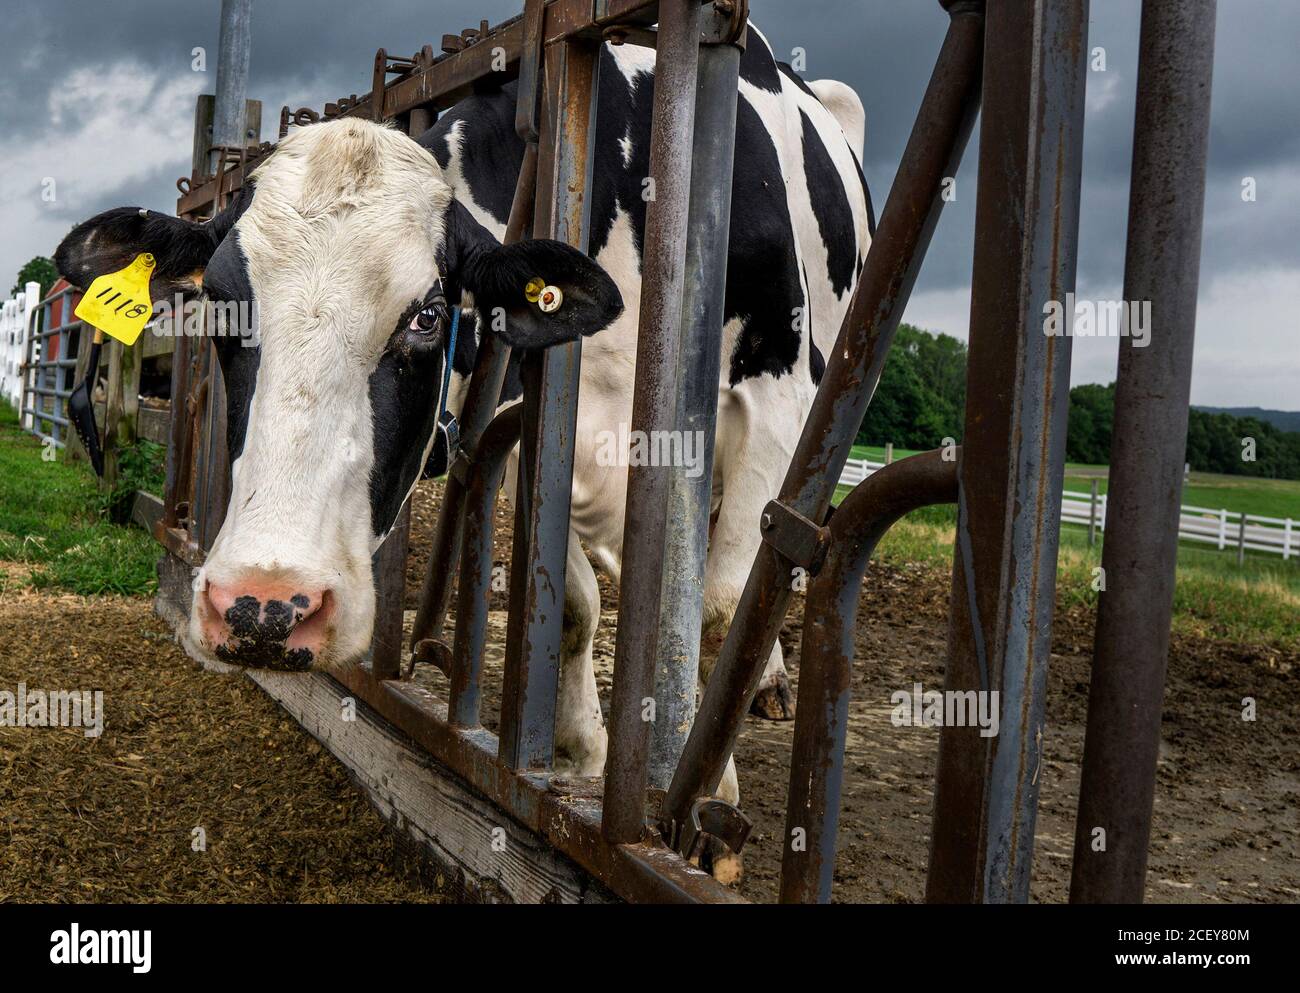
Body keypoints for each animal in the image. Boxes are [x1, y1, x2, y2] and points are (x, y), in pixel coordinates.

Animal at [54, 25, 872, 830]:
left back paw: (765, 683)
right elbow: (574, 604)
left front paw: (703, 799)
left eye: (426, 316)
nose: (262, 608)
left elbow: (721, 606)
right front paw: (586, 748)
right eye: (222, 310)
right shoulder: (545, 429)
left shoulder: (776, 399)